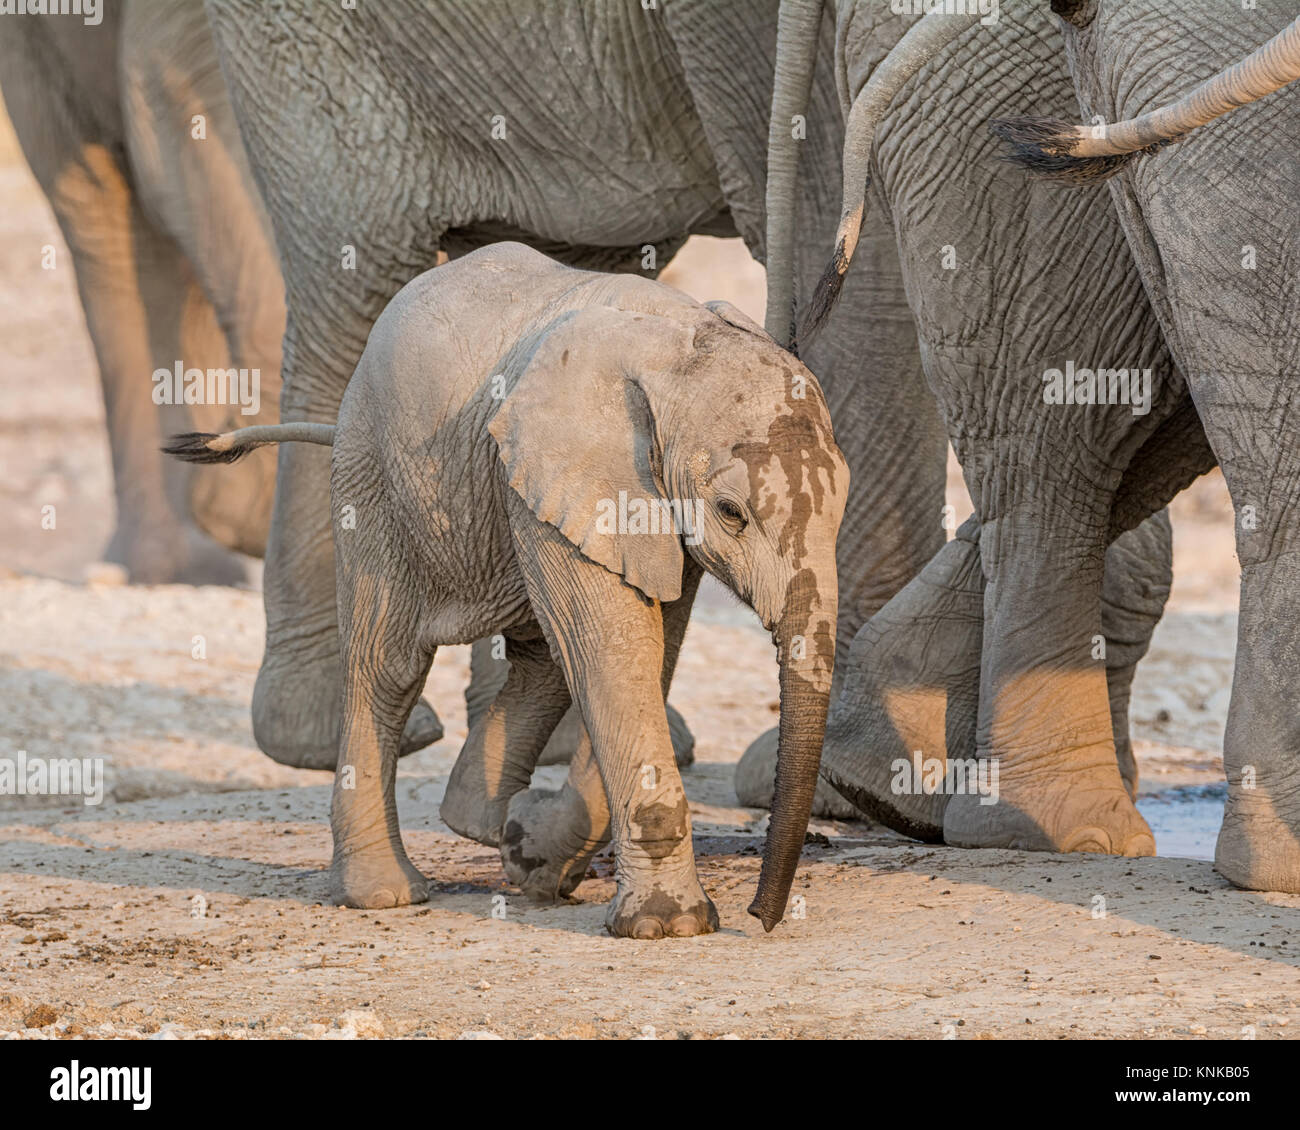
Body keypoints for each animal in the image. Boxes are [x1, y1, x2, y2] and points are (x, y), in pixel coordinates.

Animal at [167, 242, 848, 937]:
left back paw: (487, 824)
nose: (760, 917)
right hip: (371, 471)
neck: (683, 348)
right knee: (390, 664)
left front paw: (535, 854)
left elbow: (646, 650)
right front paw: (669, 927)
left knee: (544, 653)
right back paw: (386, 894)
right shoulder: (585, 473)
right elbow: (615, 649)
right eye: (732, 512)